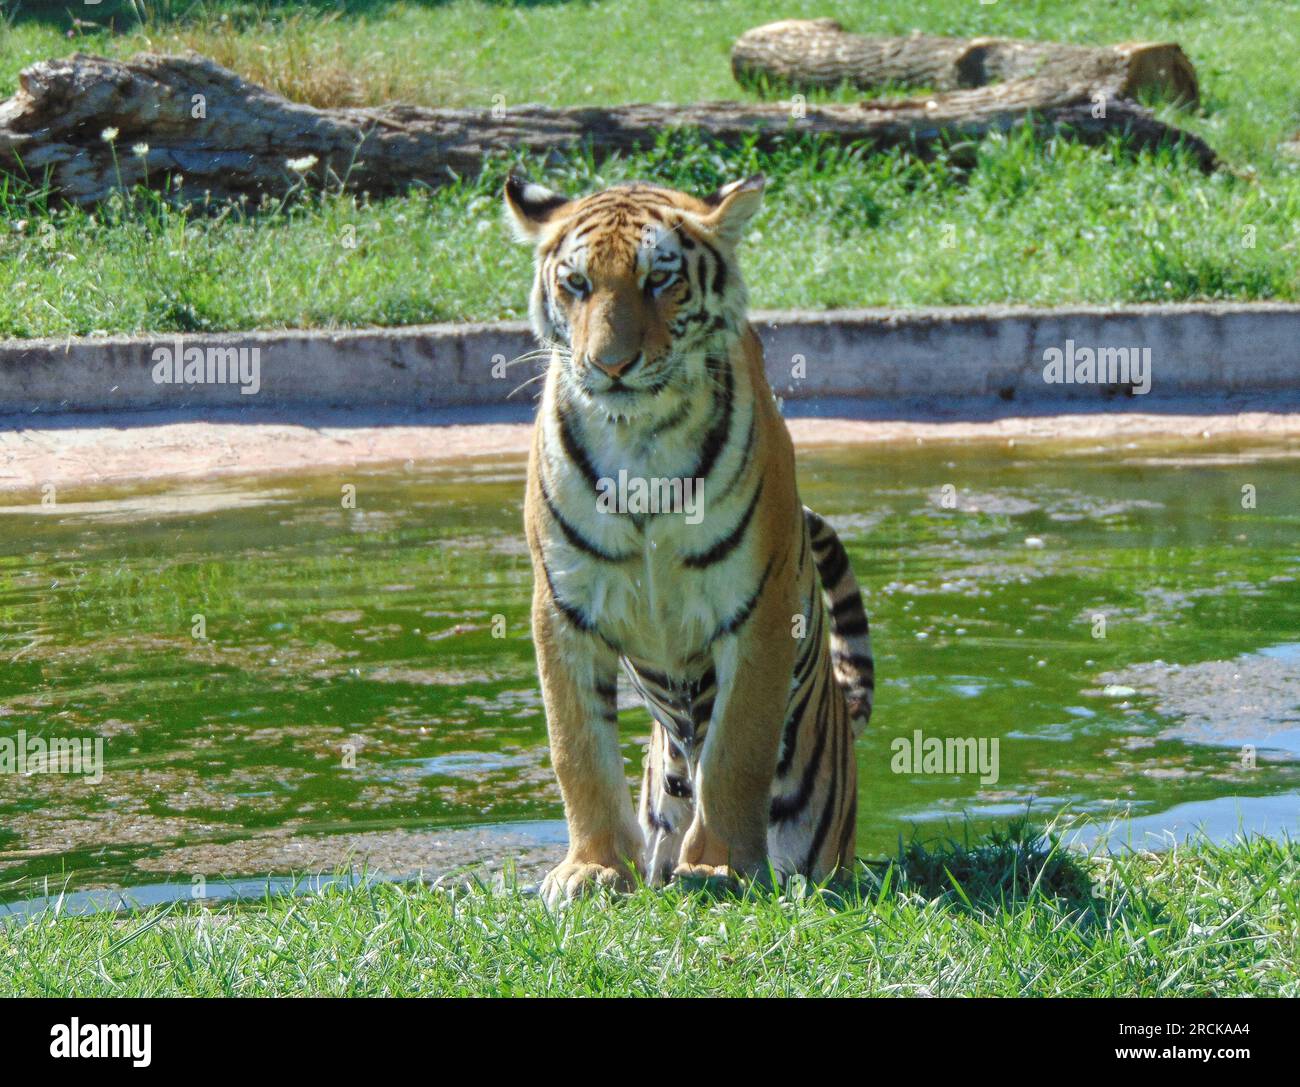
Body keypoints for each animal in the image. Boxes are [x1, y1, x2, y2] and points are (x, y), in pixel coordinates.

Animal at [503, 172, 874, 905]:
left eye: (659, 280)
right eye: (576, 284)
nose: (610, 365)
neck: (639, 439)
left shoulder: (757, 605)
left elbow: (737, 749)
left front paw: (722, 867)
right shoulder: (562, 606)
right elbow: (576, 747)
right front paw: (590, 868)